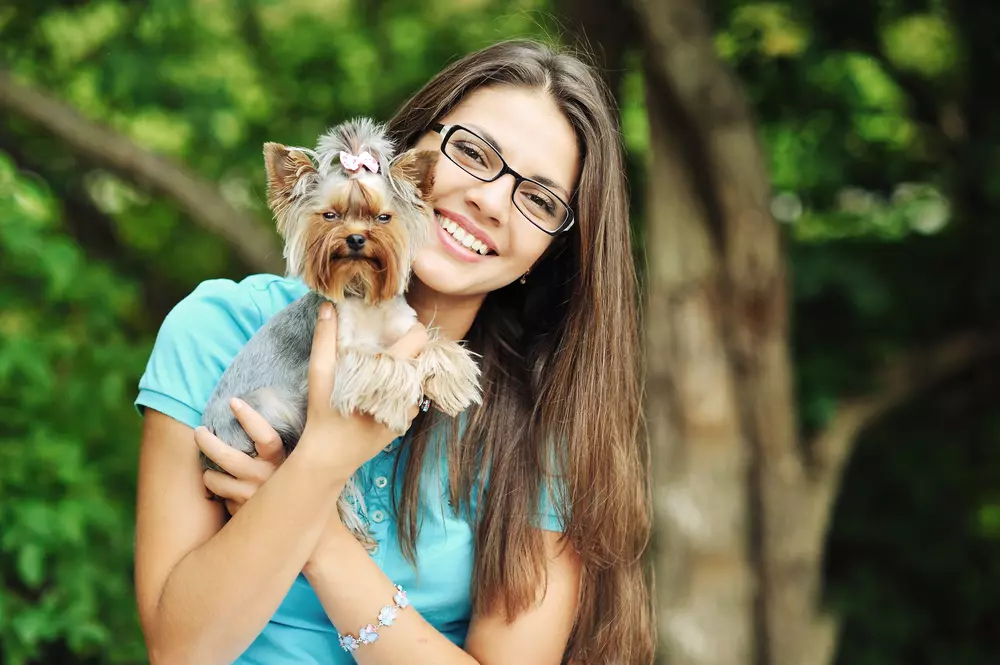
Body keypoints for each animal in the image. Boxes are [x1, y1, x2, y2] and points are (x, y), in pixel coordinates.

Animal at [199, 118, 480, 544]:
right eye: (330, 216)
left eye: (384, 218)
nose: (356, 238)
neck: (363, 294)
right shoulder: (337, 360)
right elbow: (381, 362)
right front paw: (398, 398)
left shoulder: (406, 327)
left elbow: (433, 341)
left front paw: (454, 375)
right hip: (268, 408)